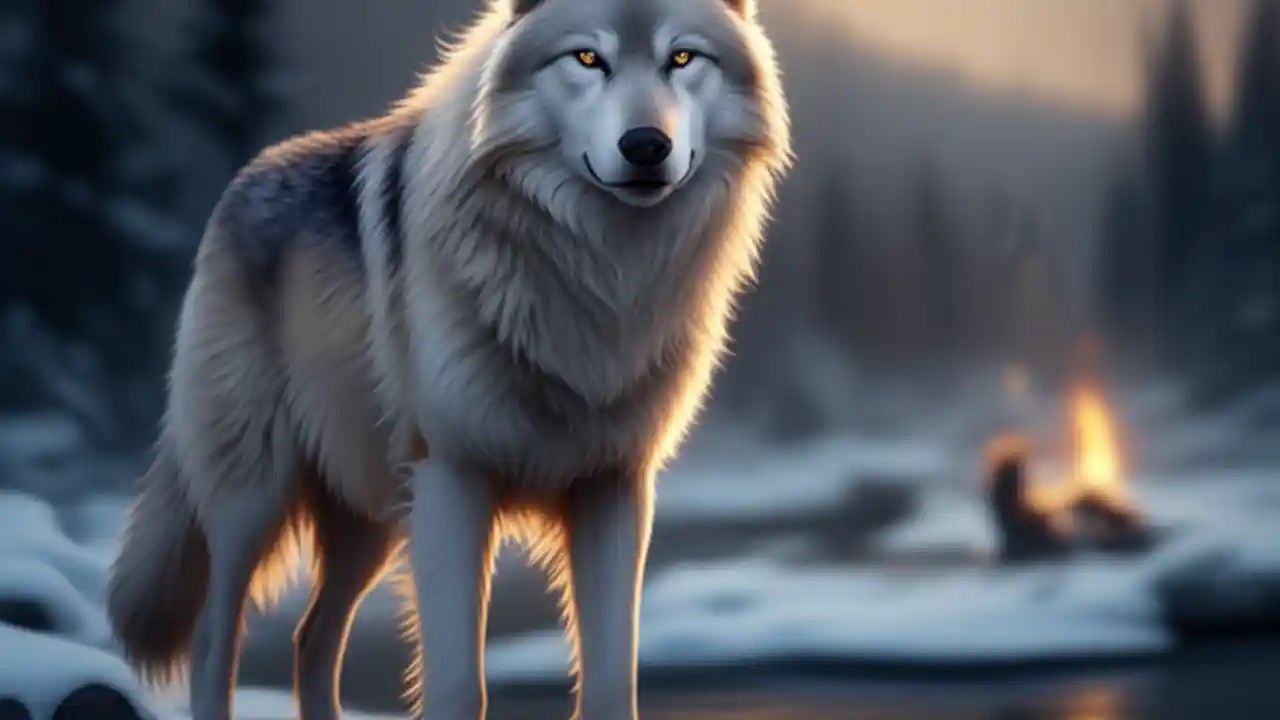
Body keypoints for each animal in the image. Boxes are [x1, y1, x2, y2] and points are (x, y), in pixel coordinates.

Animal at [106, 0, 789, 717]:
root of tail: (241, 180)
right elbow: (460, 682)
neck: (597, 275)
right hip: (255, 498)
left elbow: (610, 683)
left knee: (311, 637)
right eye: (587, 58)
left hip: (370, 519)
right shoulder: (455, 478)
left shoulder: (614, 485)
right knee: (215, 637)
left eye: (681, 59)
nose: (646, 146)